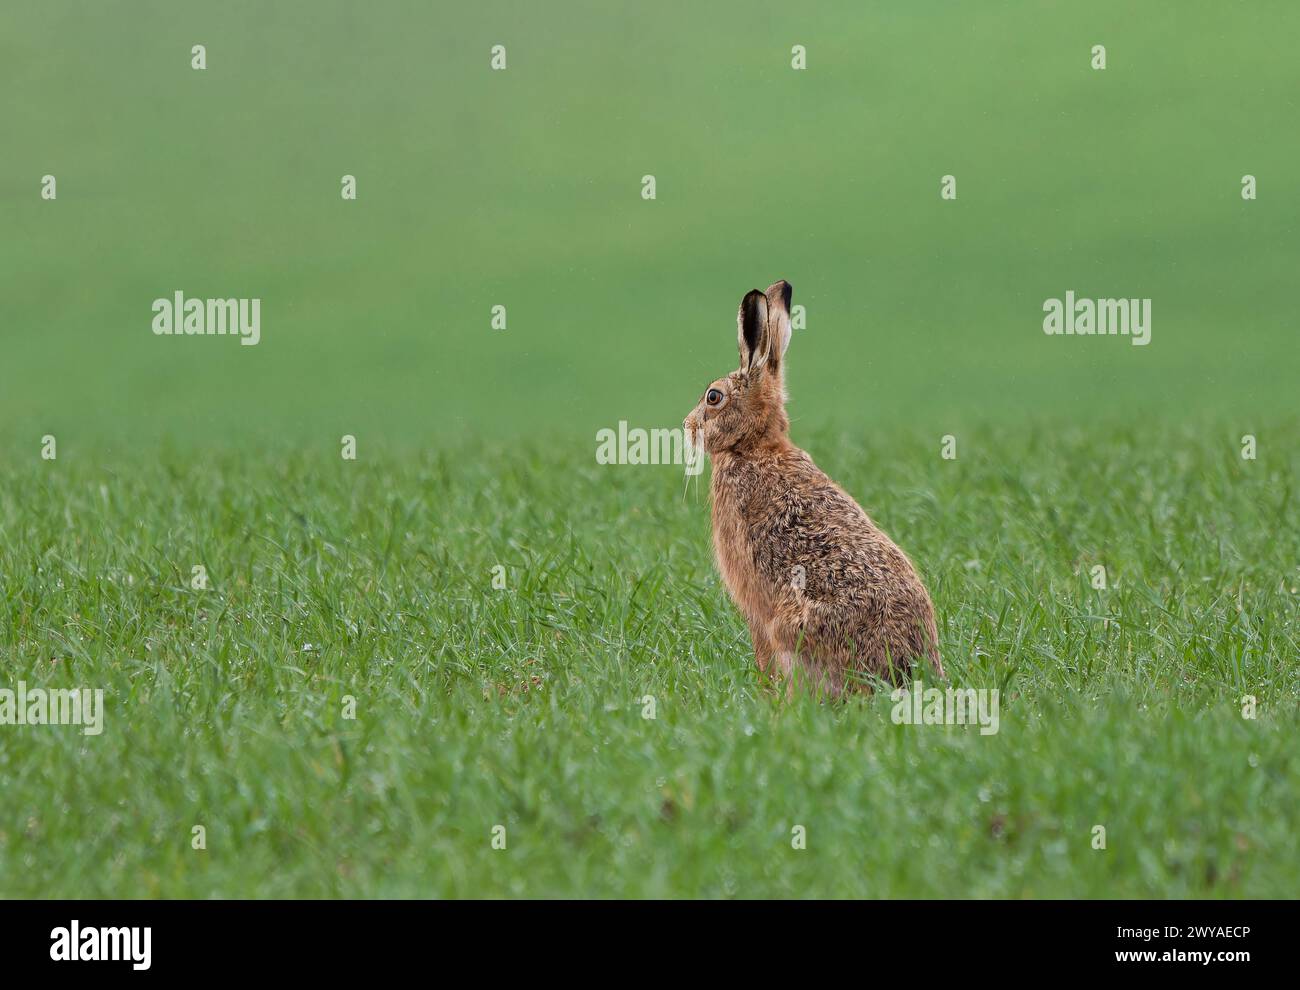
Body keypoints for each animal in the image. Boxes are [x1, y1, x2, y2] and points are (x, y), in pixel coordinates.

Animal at [683, 280, 942, 697]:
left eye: (713, 397)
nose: (687, 425)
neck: (753, 446)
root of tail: (904, 671)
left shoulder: (756, 606)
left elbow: (761, 653)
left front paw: (764, 695)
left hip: (792, 628)